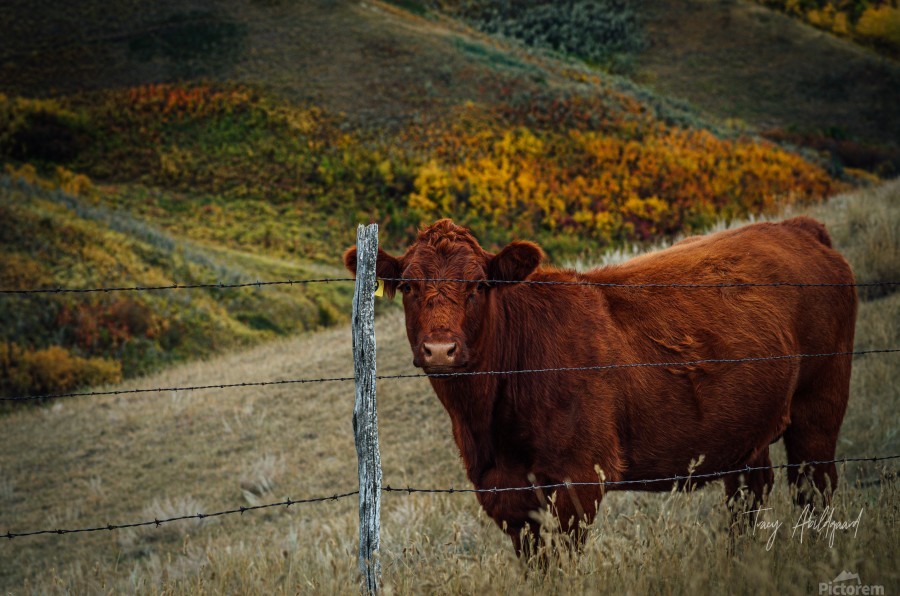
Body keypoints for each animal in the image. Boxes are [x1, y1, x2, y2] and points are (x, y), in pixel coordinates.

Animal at [343, 217, 857, 554]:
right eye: (409, 286)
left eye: (478, 286)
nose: (440, 349)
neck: (488, 421)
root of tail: (793, 227)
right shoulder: (504, 495)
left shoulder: (579, 478)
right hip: (744, 431)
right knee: (750, 493)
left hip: (820, 405)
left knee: (815, 487)